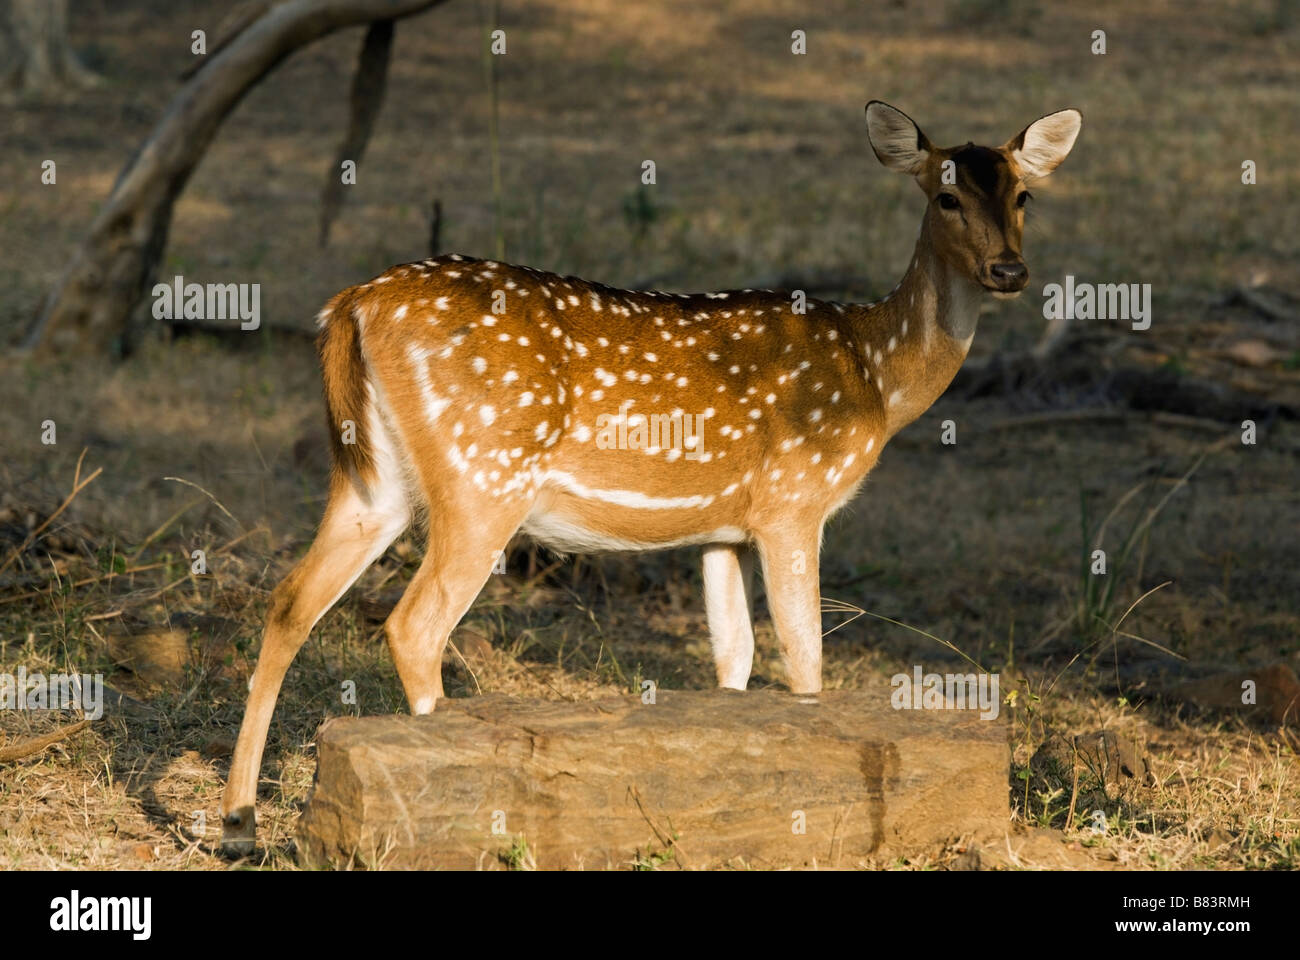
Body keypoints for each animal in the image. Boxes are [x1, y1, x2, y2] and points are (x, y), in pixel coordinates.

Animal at [219, 101, 1081, 854]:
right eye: (945, 194)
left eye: (1024, 195)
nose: (1009, 269)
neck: (876, 376)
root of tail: (350, 306)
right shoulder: (795, 499)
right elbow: (805, 661)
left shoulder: (722, 531)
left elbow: (735, 662)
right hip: (483, 475)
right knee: (412, 624)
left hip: (373, 482)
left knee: (290, 602)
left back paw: (240, 823)